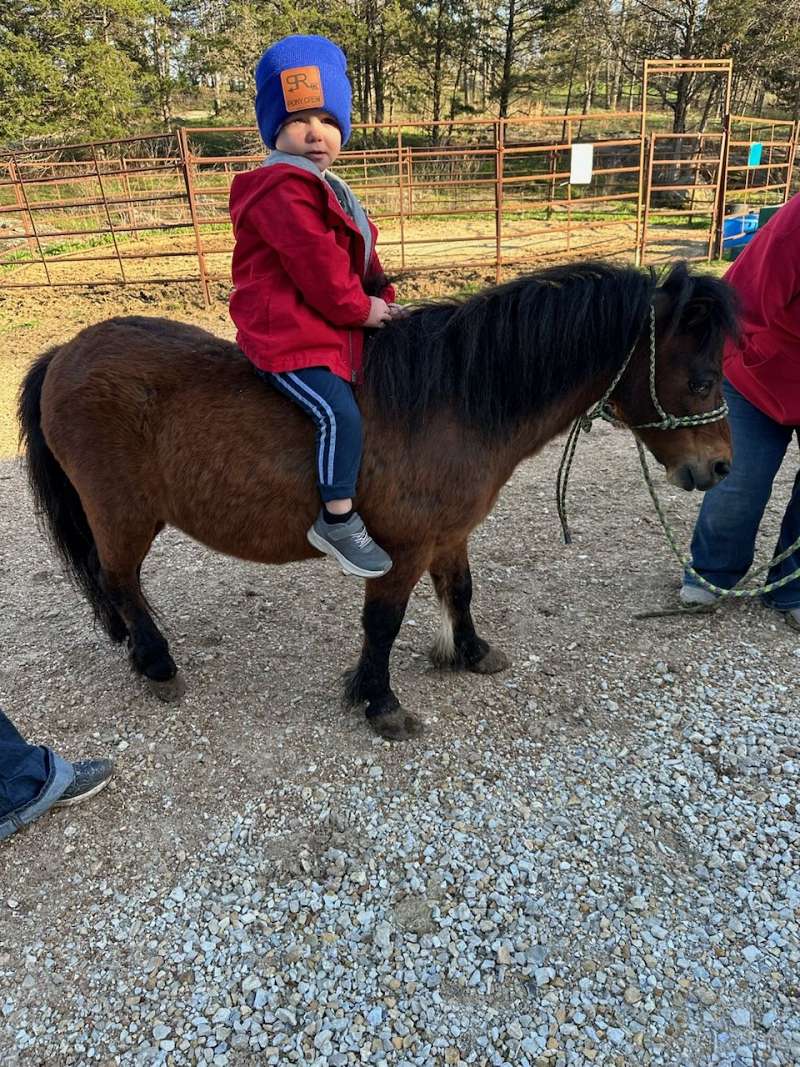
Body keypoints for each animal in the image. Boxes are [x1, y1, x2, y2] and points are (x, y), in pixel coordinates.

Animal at [18, 261, 738, 741]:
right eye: (704, 378)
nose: (721, 466)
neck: (457, 401)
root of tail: (64, 353)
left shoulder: (450, 535)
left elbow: (461, 593)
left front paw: (472, 654)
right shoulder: (404, 548)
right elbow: (383, 625)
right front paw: (380, 702)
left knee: (110, 583)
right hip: (122, 513)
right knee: (119, 579)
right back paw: (157, 662)